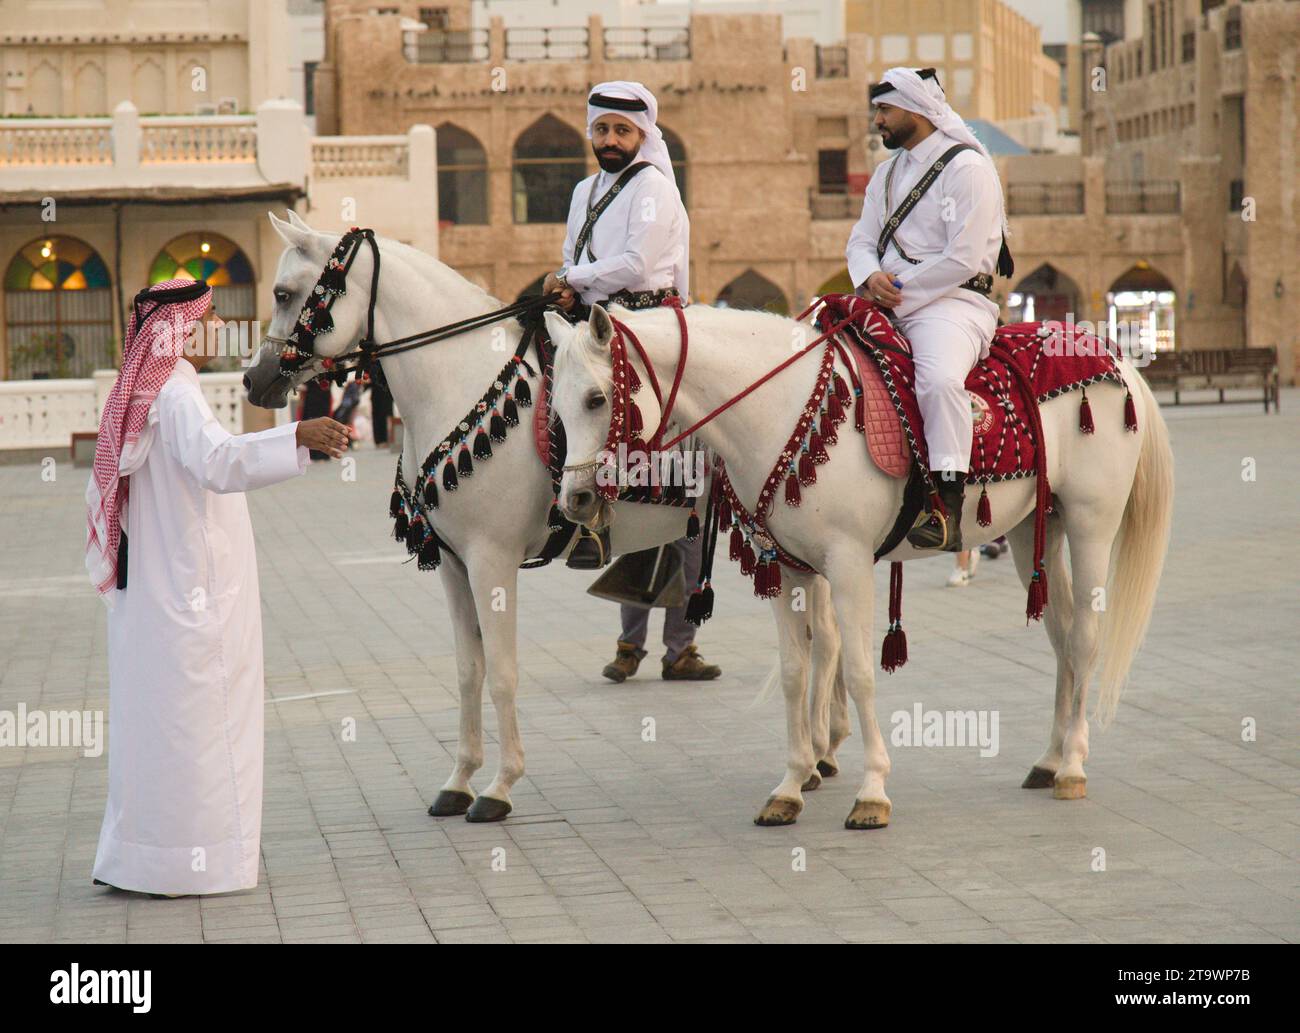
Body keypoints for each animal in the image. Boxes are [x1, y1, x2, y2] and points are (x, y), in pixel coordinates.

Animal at [242, 213, 848, 822]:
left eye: (284, 293)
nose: (254, 379)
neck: (457, 381)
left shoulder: (492, 561)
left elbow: (504, 674)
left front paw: (499, 787)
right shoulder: (454, 566)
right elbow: (468, 672)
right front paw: (459, 780)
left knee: (826, 637)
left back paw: (817, 756)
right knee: (828, 636)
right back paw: (823, 753)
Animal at [546, 301, 1174, 829]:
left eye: (597, 399)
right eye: (554, 408)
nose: (574, 500)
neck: (778, 408)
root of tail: (1114, 356)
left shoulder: (847, 565)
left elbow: (856, 669)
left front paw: (871, 792)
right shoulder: (788, 570)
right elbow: (797, 670)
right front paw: (791, 785)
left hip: (1092, 523)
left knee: (1086, 637)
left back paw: (1072, 766)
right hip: (1035, 532)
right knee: (1062, 637)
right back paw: (1049, 758)